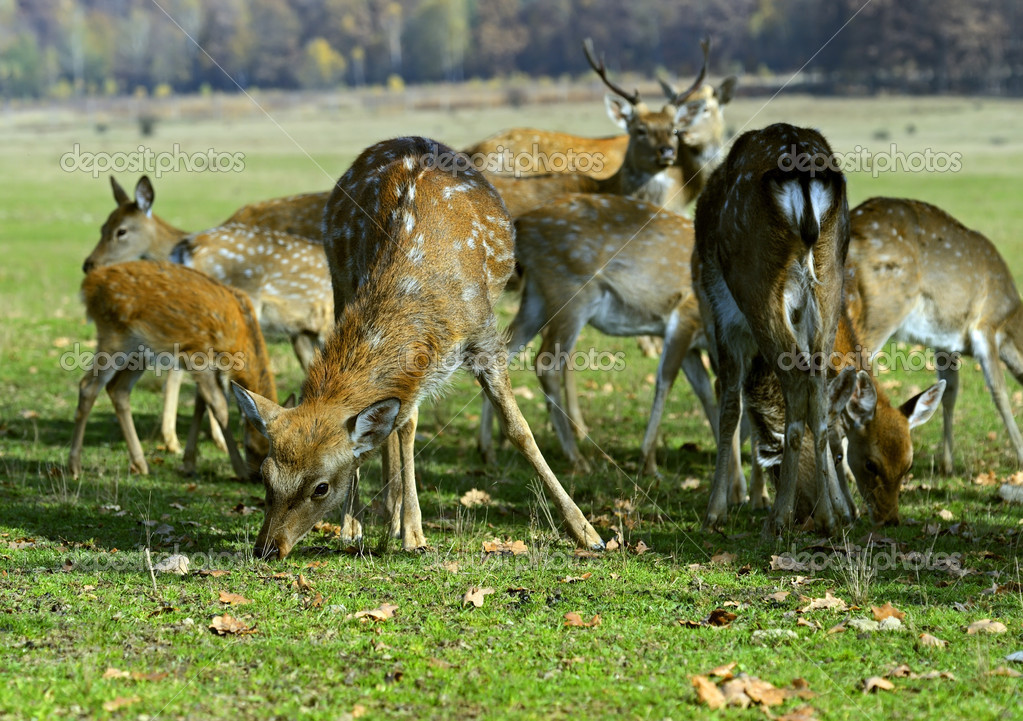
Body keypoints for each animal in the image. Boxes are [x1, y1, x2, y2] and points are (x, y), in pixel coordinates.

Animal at [68, 260, 277, 482]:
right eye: (263, 445)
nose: (257, 476)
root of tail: (89, 285)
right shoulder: (197, 355)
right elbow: (219, 408)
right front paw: (239, 469)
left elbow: (201, 405)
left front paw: (189, 463)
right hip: (113, 333)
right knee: (88, 386)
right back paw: (75, 467)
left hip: (139, 350)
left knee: (118, 389)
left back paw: (141, 465)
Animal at [232, 136, 604, 560]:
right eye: (266, 476)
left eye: (321, 486)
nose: (266, 547)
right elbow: (404, 424)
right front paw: (407, 530)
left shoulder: (484, 334)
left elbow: (519, 428)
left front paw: (588, 532)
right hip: (338, 280)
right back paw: (363, 523)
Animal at [694, 123, 853, 535]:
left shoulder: (723, 319)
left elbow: (730, 406)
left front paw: (715, 510)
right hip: (830, 277)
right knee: (817, 385)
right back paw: (828, 517)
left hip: (756, 280)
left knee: (797, 380)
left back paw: (779, 518)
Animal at [844, 197, 1023, 475]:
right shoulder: (985, 326)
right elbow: (999, 392)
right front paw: (1021, 457)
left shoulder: (945, 343)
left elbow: (949, 392)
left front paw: (947, 465)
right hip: (881, 309)